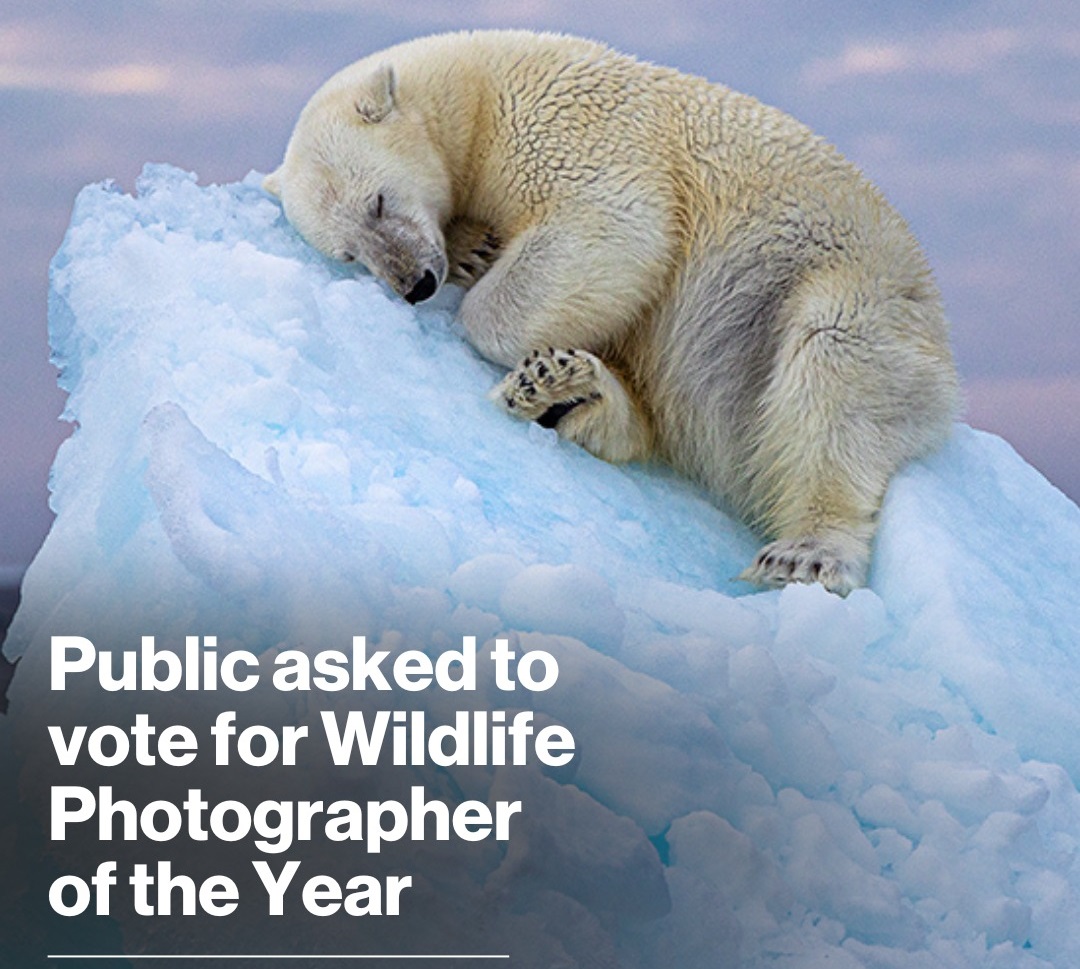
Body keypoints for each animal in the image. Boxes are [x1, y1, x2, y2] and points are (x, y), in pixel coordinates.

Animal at [264, 29, 959, 595]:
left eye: (378, 202)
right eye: (349, 253)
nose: (415, 284)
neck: (478, 90)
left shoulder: (569, 126)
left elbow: (614, 226)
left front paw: (482, 289)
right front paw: (473, 249)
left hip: (838, 289)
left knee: (833, 376)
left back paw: (805, 554)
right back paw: (566, 391)